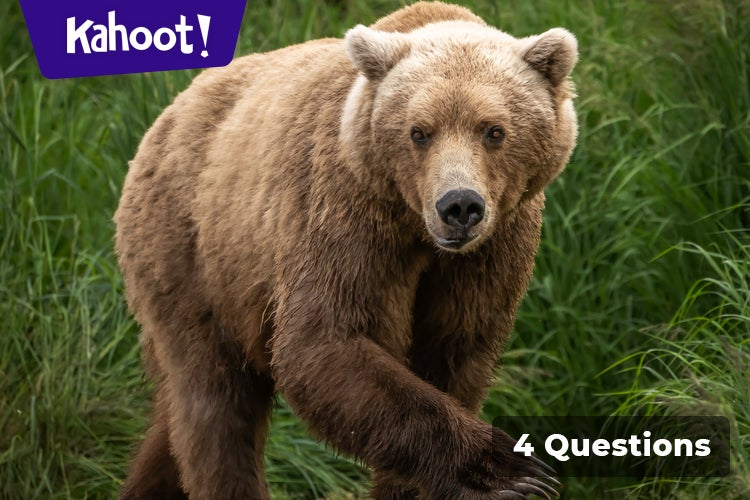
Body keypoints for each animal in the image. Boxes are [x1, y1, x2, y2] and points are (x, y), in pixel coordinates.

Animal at [114, 2, 578, 498]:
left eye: (494, 130)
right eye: (419, 132)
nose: (459, 206)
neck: (415, 227)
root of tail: (170, 111)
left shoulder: (492, 248)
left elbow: (454, 351)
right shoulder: (346, 213)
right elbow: (327, 339)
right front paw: (514, 472)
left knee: (177, 420)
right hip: (192, 252)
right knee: (215, 404)